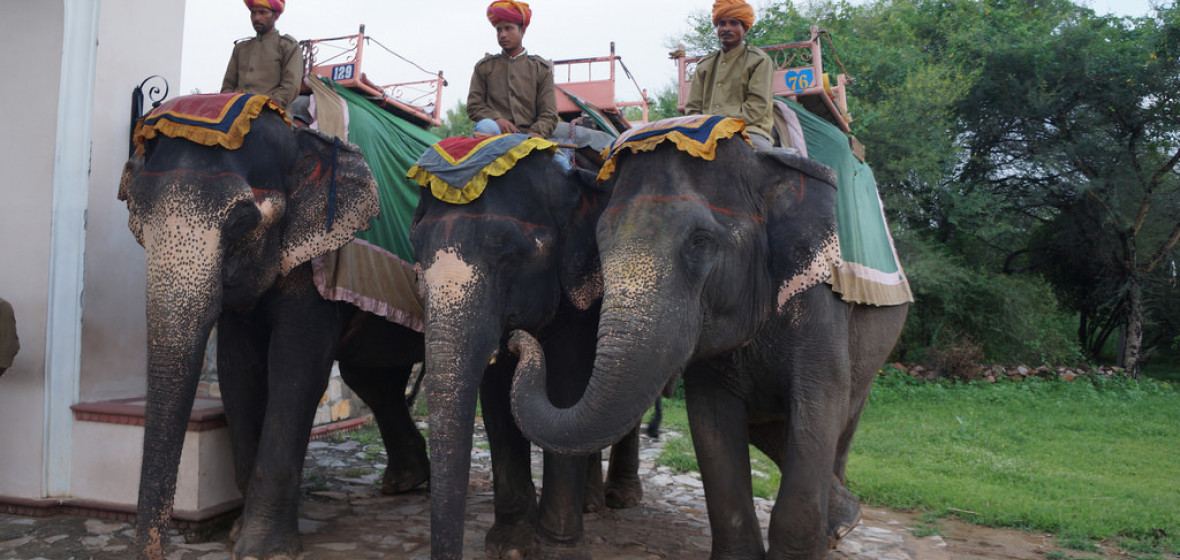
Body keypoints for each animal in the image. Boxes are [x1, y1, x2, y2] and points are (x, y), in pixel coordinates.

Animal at [119, 96, 428, 560]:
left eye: (240, 220)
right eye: (136, 214)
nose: (151, 551)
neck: (295, 130)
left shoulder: (320, 259)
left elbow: (297, 367)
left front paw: (262, 549)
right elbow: (238, 371)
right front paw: (236, 534)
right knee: (374, 379)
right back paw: (406, 482)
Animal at [409, 140, 645, 560]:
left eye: (510, 255)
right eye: (416, 255)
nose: (518, 339)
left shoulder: (581, 290)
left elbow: (567, 383)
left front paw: (558, 550)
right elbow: (497, 400)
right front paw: (510, 545)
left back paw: (620, 500)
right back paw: (592, 504)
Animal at [509, 132, 909, 560]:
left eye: (700, 242)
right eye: (599, 244)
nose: (516, 340)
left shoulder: (818, 299)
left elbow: (817, 406)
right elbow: (711, 424)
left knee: (842, 420)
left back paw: (840, 528)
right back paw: (843, 520)